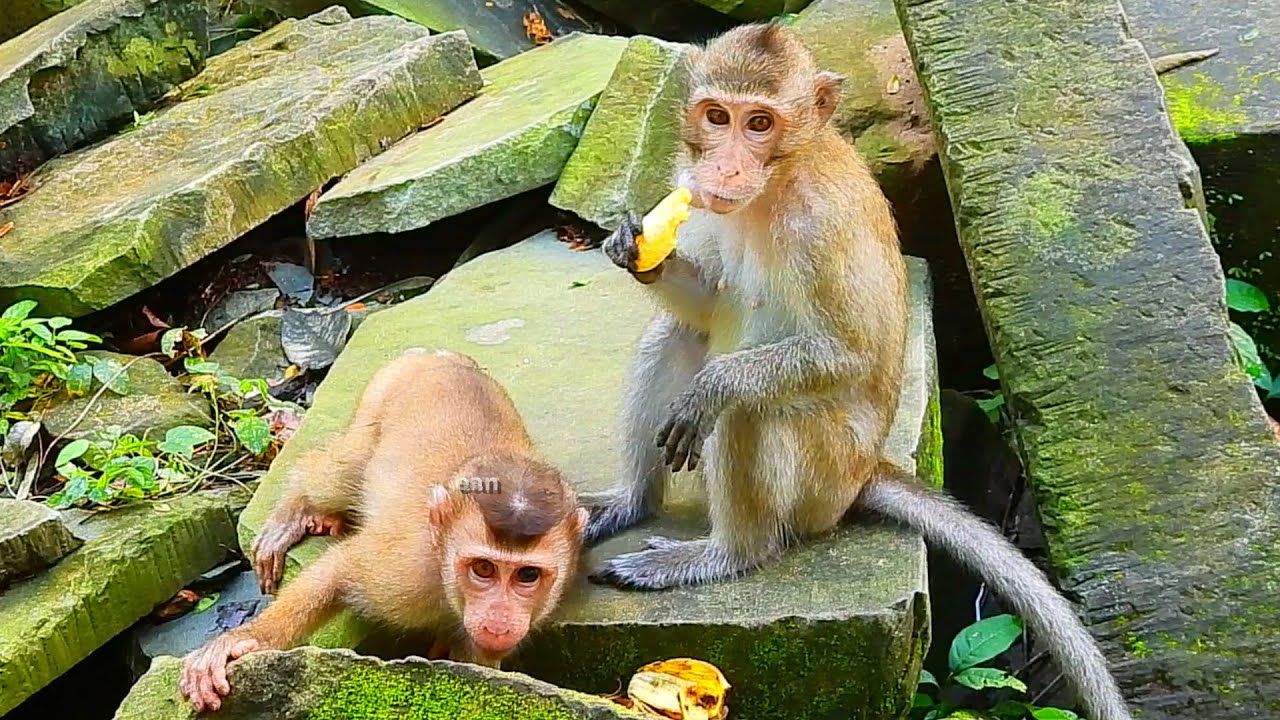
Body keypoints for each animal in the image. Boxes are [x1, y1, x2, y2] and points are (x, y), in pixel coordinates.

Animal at [178, 349, 588, 713]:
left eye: (528, 575)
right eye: (483, 569)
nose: (500, 623)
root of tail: (442, 357)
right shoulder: (405, 573)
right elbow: (340, 570)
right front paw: (245, 640)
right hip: (379, 397)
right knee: (337, 472)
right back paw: (296, 509)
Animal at [578, 23, 1134, 720]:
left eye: (760, 123)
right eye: (717, 116)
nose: (724, 167)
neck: (775, 183)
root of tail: (866, 467)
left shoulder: (820, 223)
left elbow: (848, 353)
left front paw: (716, 384)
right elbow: (703, 308)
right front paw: (634, 249)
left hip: (822, 474)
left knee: (748, 407)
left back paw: (725, 552)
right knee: (674, 335)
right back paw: (632, 503)